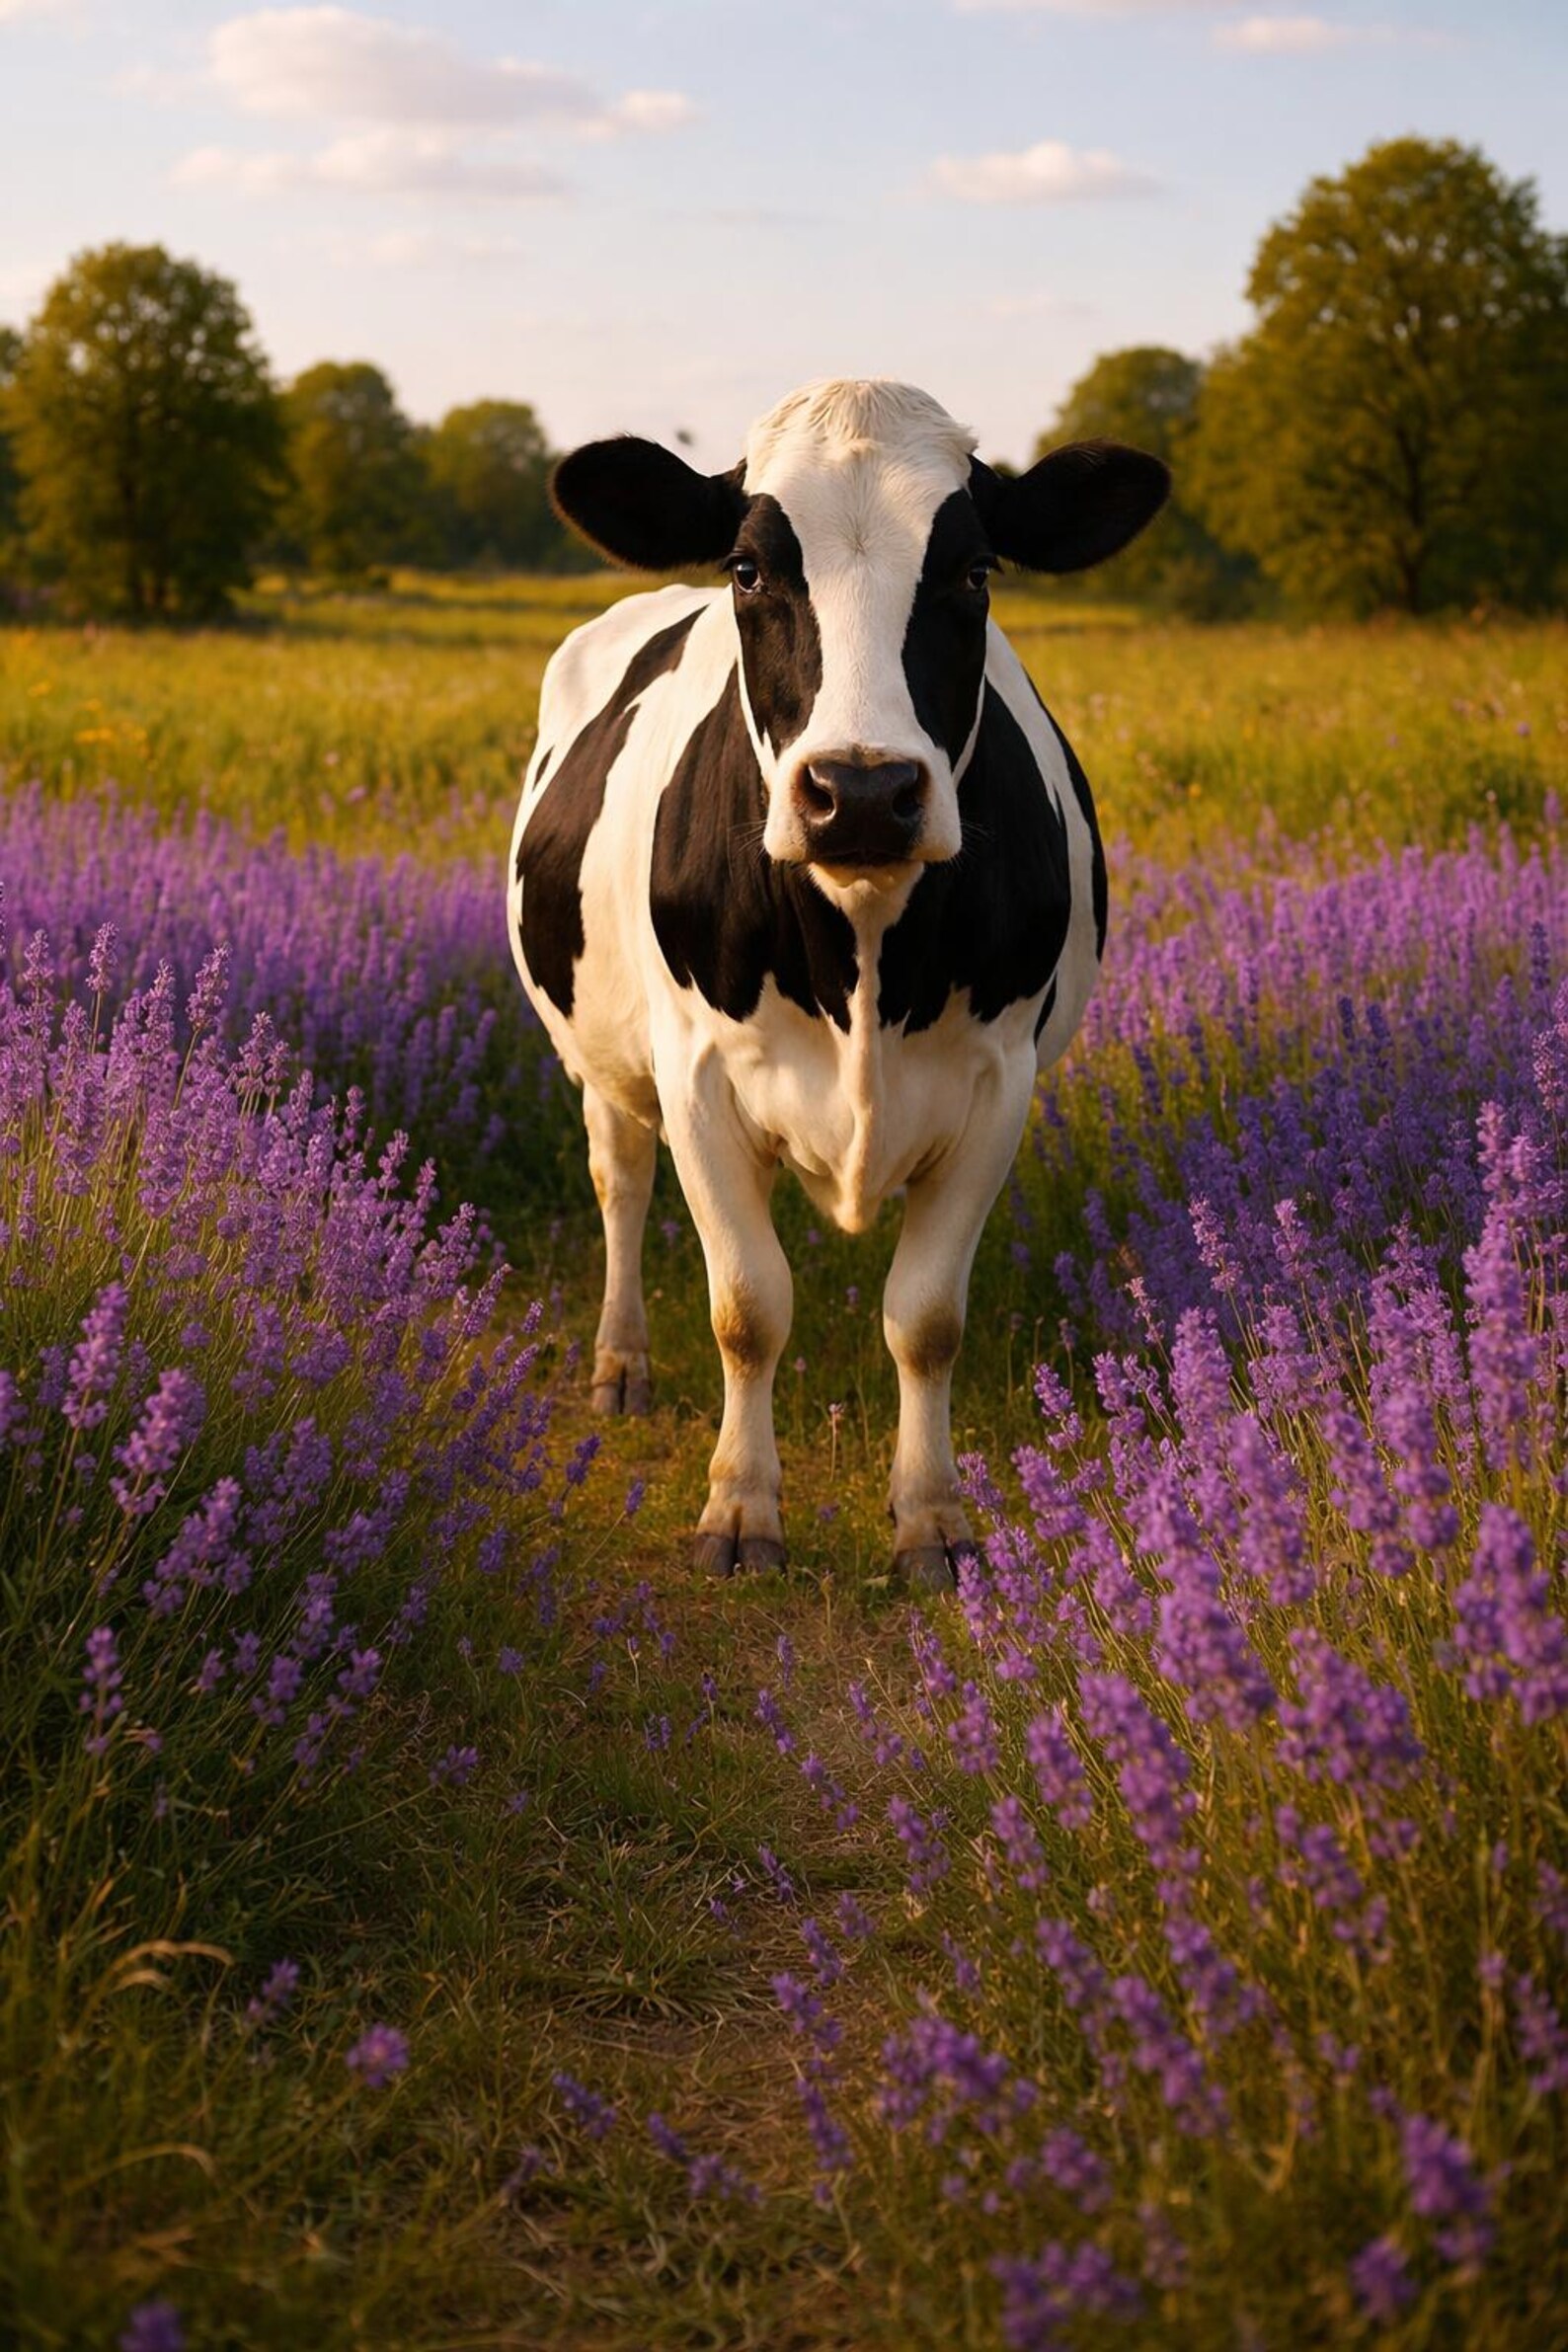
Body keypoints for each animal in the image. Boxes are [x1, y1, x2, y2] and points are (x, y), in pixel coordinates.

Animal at [508, 378, 1167, 1589]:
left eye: (974, 570)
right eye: (748, 568)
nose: (860, 791)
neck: (859, 951)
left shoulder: (997, 1084)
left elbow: (925, 1318)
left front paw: (932, 1519)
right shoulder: (697, 1076)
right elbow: (747, 1306)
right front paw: (740, 1508)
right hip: (603, 1059)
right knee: (620, 1183)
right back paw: (620, 1365)